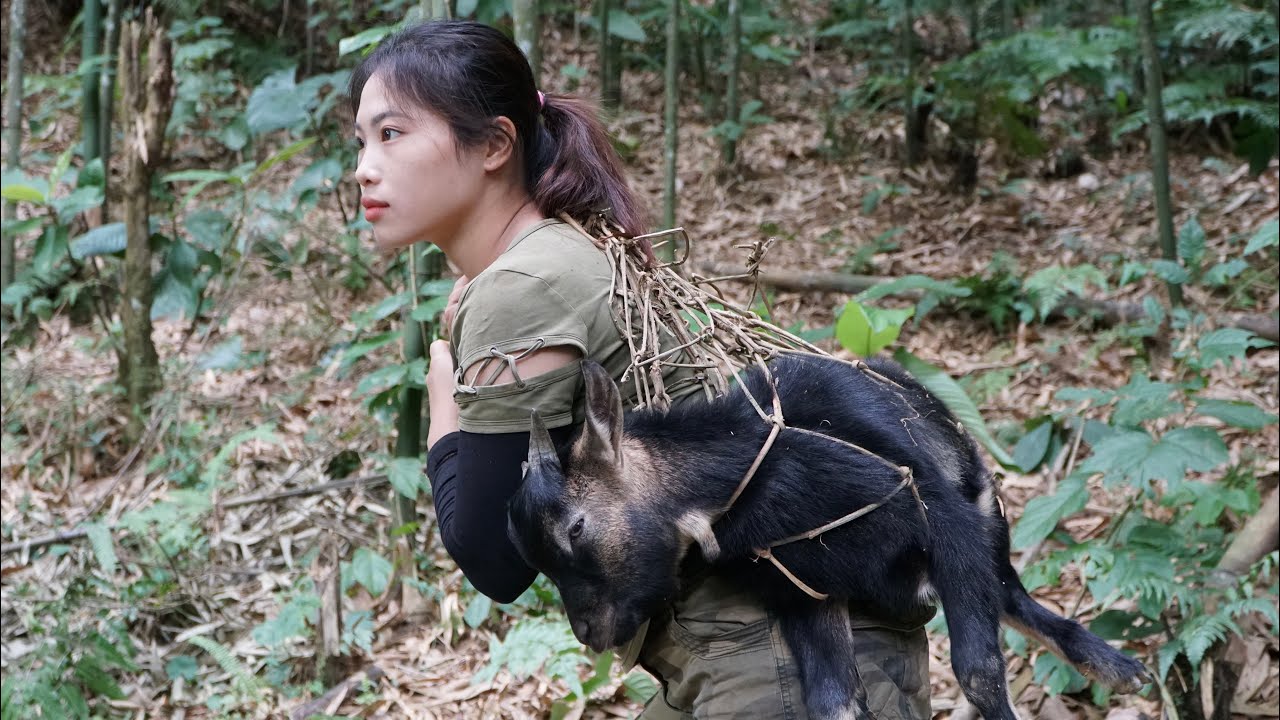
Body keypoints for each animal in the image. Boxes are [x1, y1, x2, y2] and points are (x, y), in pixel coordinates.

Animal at [507, 354, 1151, 720]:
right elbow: (834, 702)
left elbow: (979, 669)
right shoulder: (806, 593)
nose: (590, 632)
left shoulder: (942, 515)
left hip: (986, 514)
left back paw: (1116, 666)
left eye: (577, 526)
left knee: (1011, 594)